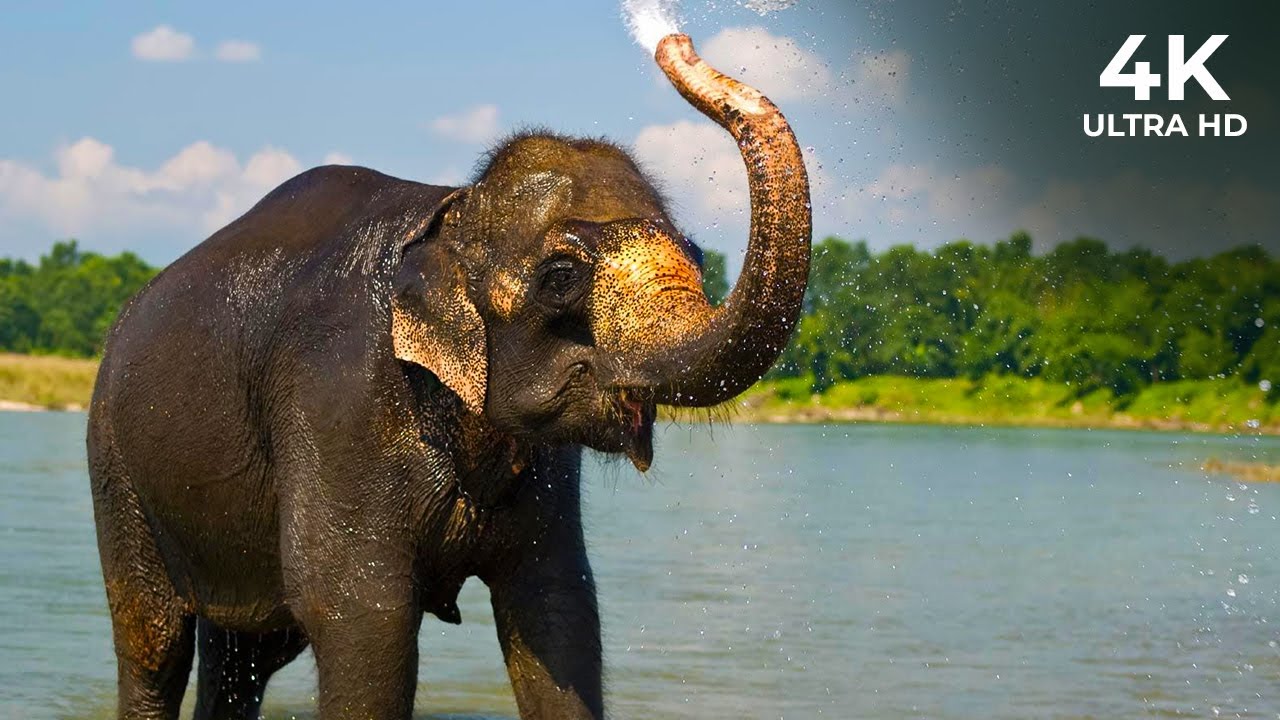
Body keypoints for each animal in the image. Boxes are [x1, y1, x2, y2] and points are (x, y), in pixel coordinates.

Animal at [87, 33, 810, 720]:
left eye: (696, 254)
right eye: (561, 277)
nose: (676, 44)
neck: (449, 211)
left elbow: (557, 606)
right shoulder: (337, 405)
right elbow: (361, 616)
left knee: (248, 655)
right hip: (115, 464)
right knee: (155, 644)